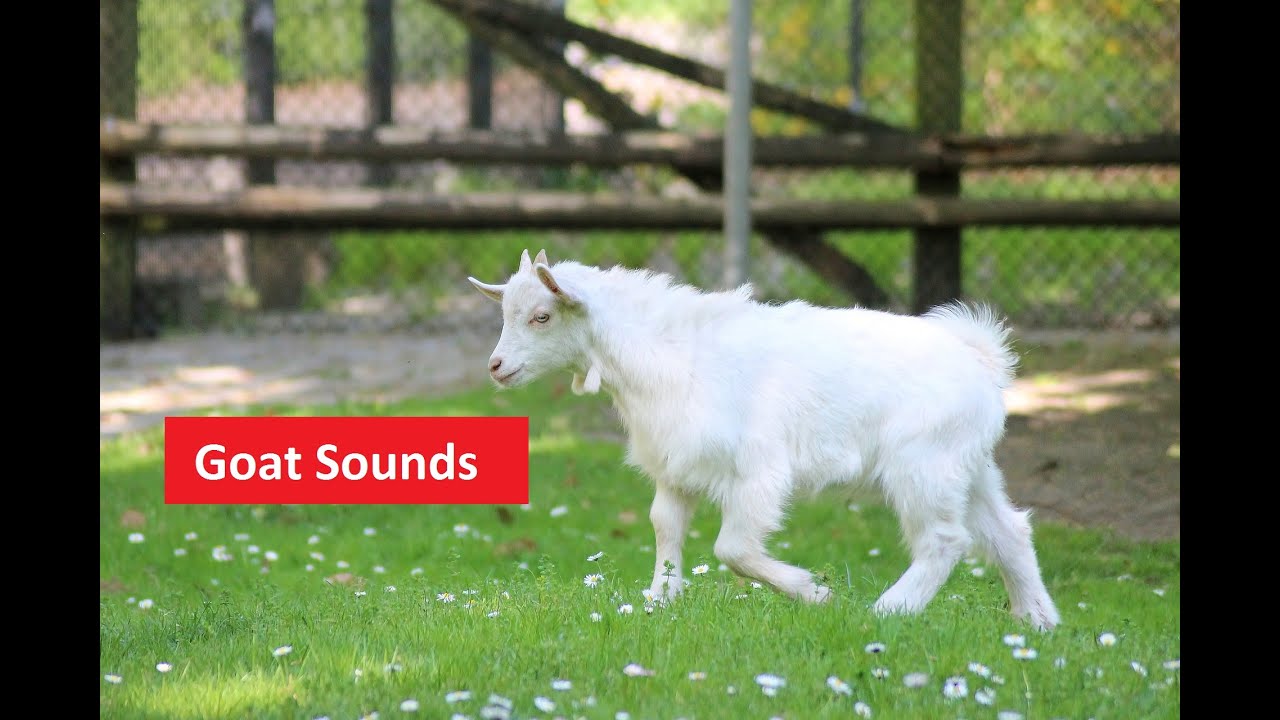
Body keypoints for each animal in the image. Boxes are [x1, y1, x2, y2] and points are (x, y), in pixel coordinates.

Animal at [469, 249, 1060, 630]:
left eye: (541, 316)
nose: (495, 367)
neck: (673, 356)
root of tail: (980, 358)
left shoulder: (759, 473)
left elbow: (732, 548)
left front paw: (814, 592)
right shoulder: (676, 469)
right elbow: (665, 529)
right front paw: (659, 601)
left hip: (923, 464)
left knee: (944, 540)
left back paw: (888, 611)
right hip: (968, 466)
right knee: (1008, 531)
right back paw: (1037, 621)